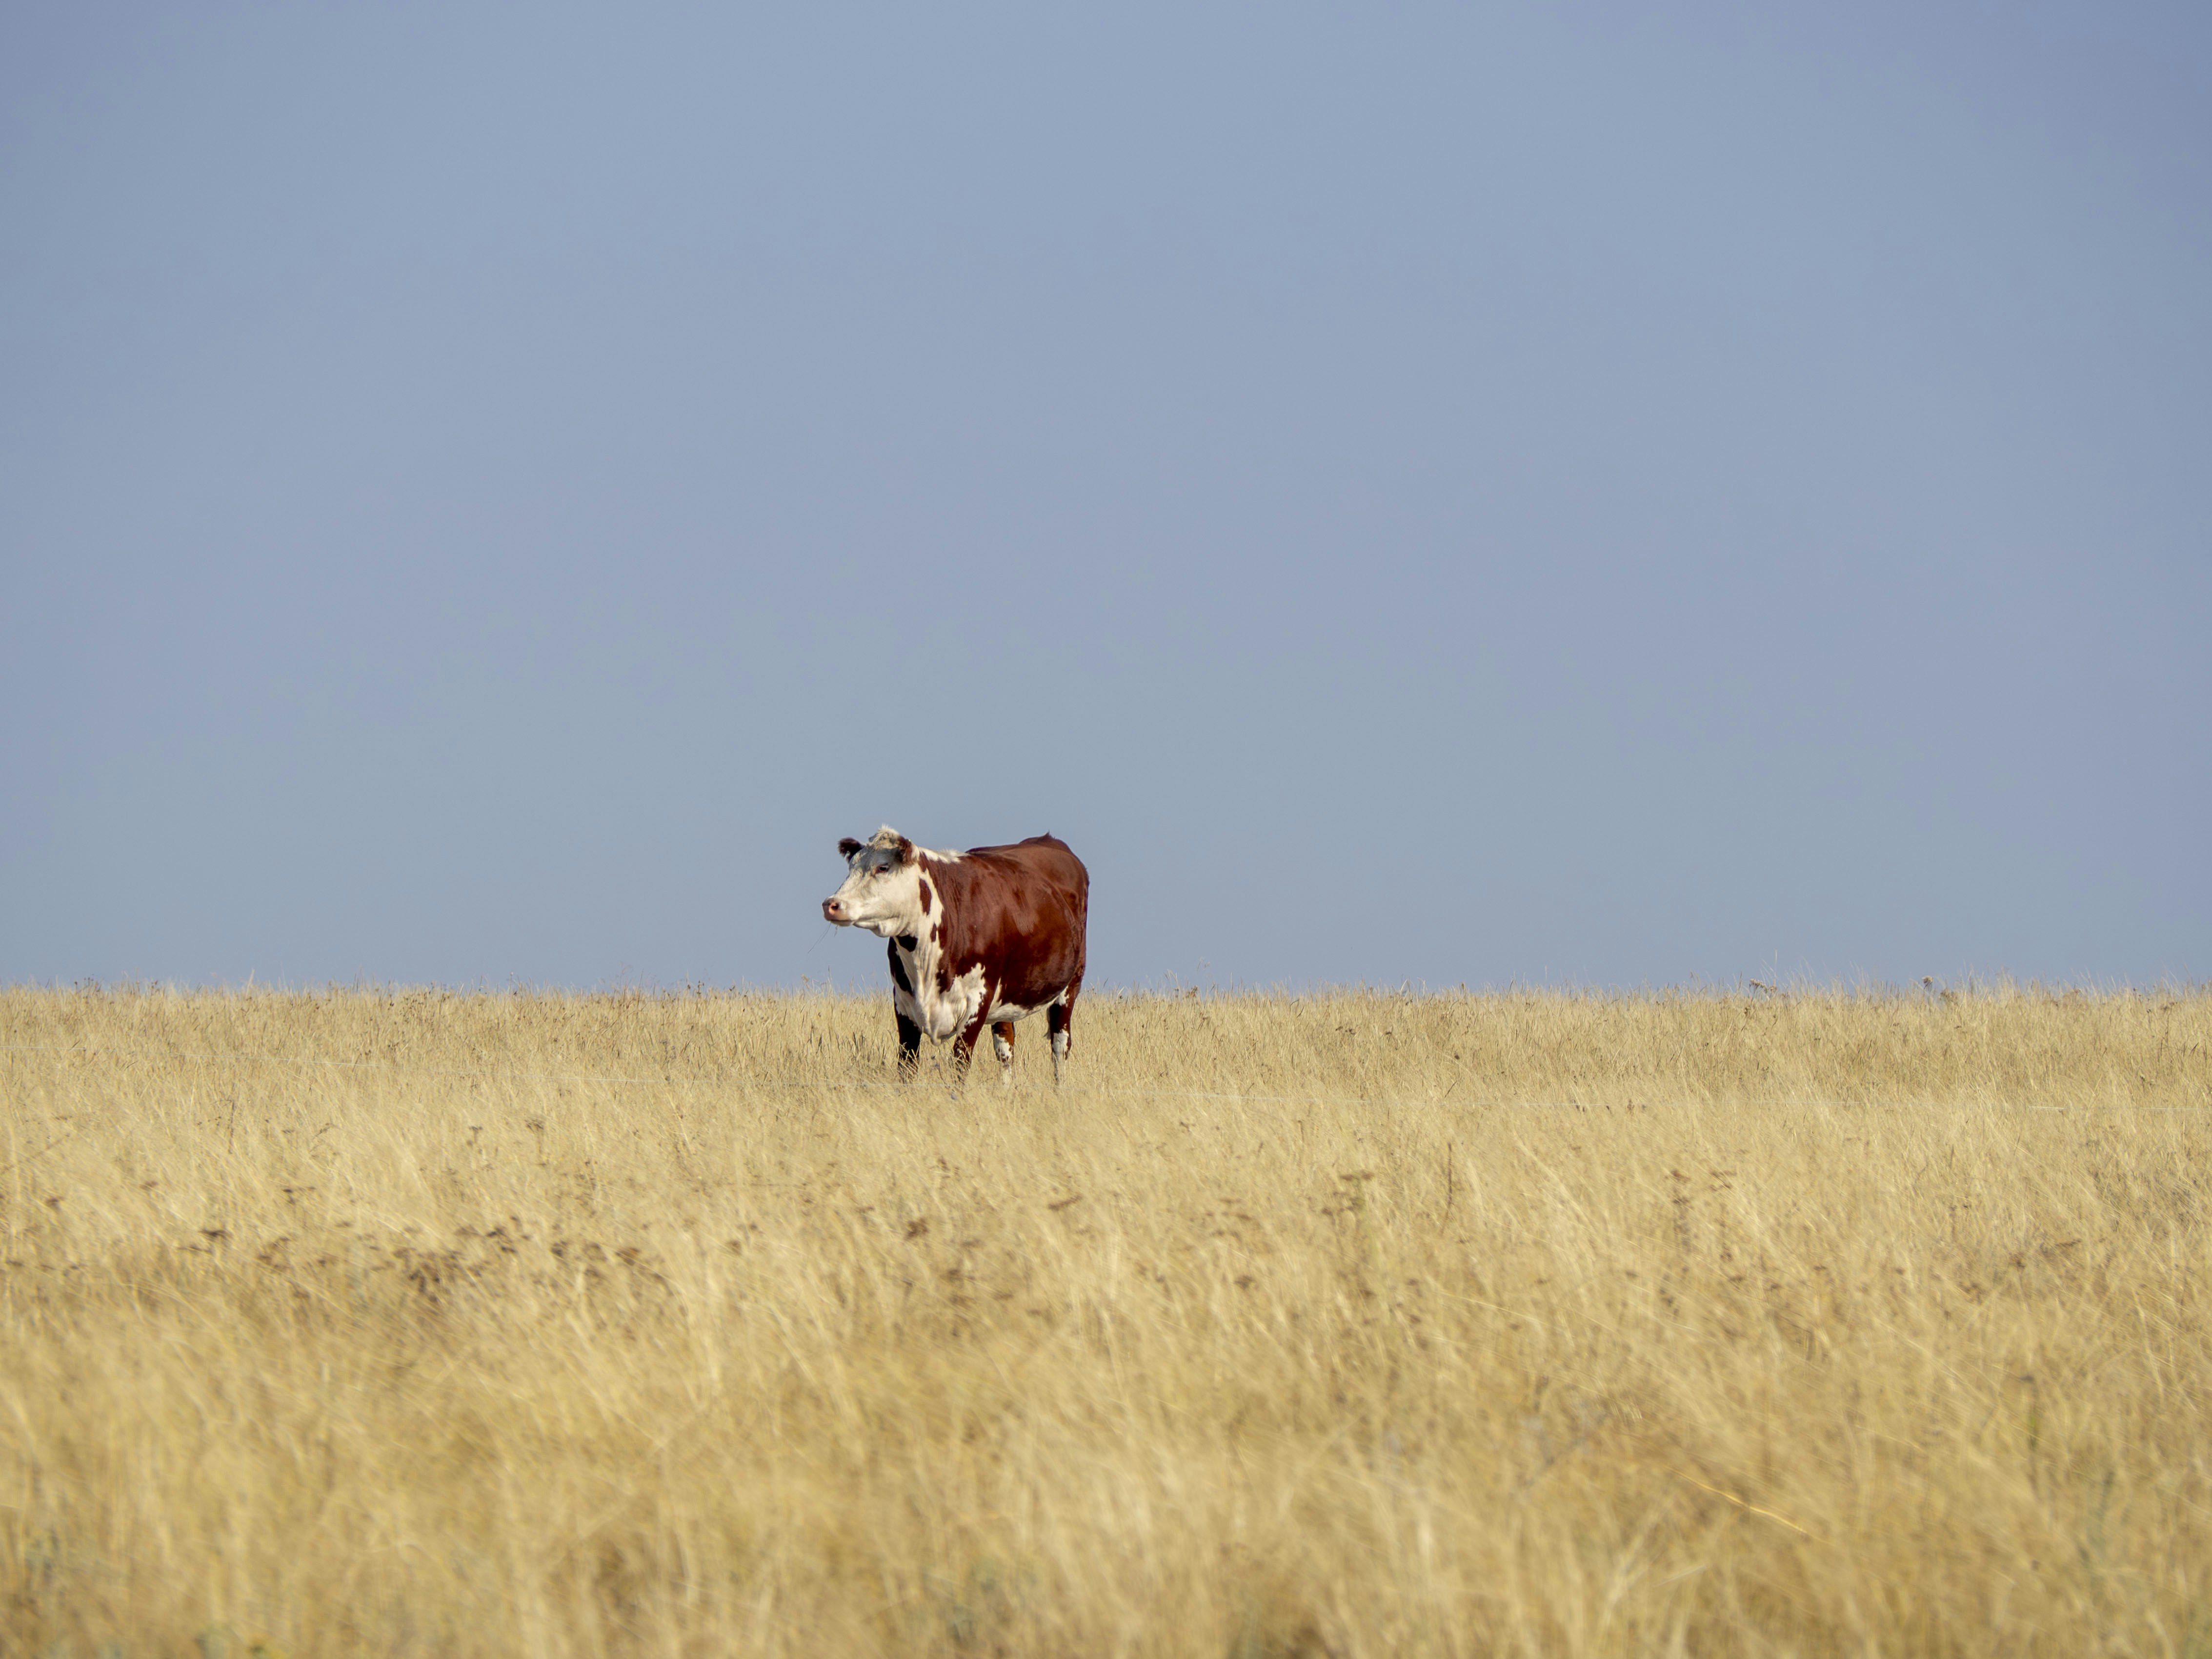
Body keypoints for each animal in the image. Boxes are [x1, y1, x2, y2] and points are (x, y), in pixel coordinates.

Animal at [821, 827, 1088, 1083]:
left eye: (883, 867)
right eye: (852, 866)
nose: (831, 904)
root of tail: (1047, 840)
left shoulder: (979, 999)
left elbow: (960, 1064)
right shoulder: (903, 1003)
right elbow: (907, 1066)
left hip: (1070, 986)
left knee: (1060, 1047)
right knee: (1005, 1047)